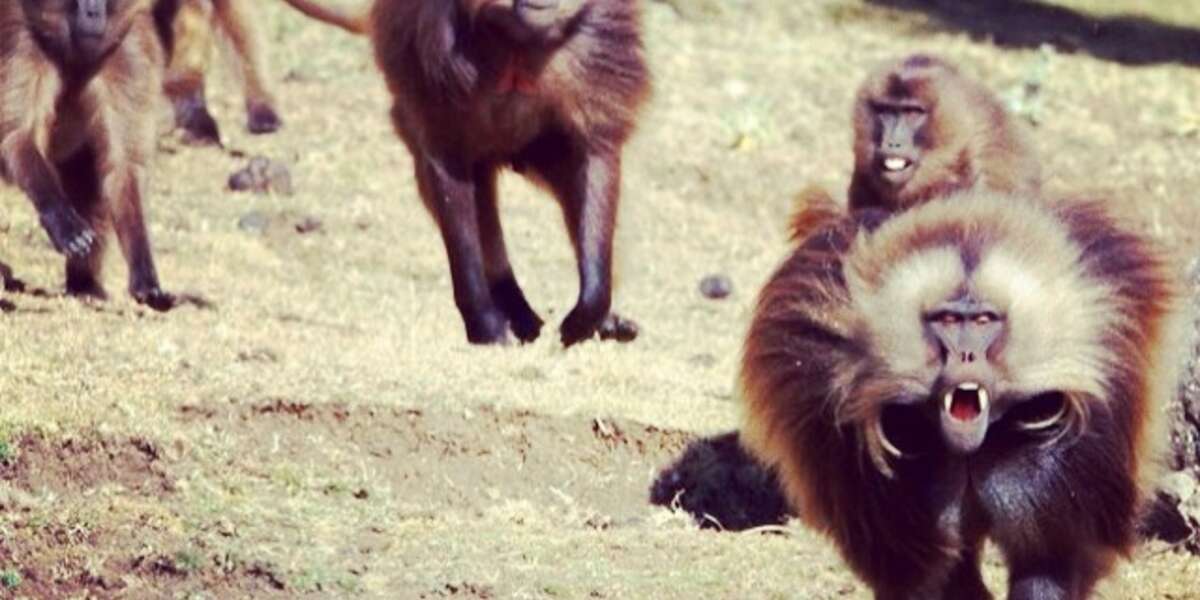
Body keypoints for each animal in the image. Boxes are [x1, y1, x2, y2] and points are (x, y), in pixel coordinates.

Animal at [1, 0, 177, 310]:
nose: (93, 12)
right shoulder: (21, 40)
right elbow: (17, 136)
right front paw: (63, 222)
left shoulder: (129, 50)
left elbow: (123, 166)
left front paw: (146, 281)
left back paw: (84, 284)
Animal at [274, 0, 650, 346]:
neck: (518, 46)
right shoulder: (437, 78)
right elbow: (450, 185)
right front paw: (487, 328)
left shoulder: (593, 66)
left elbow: (594, 159)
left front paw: (587, 318)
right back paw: (516, 312)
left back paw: (602, 322)